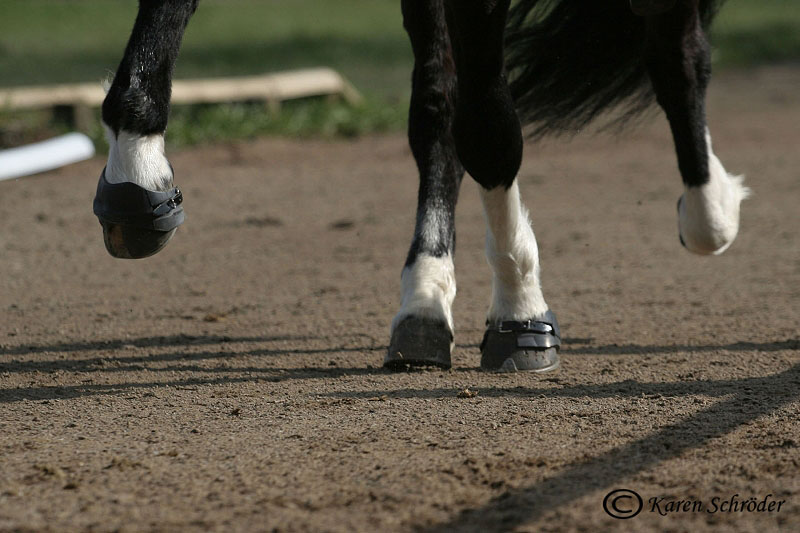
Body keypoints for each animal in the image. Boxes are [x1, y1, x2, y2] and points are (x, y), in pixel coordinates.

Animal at [93, 0, 748, 373]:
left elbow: (489, 130)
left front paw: (519, 312)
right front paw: (137, 168)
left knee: (676, 52)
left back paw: (710, 211)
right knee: (439, 100)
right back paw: (424, 306)